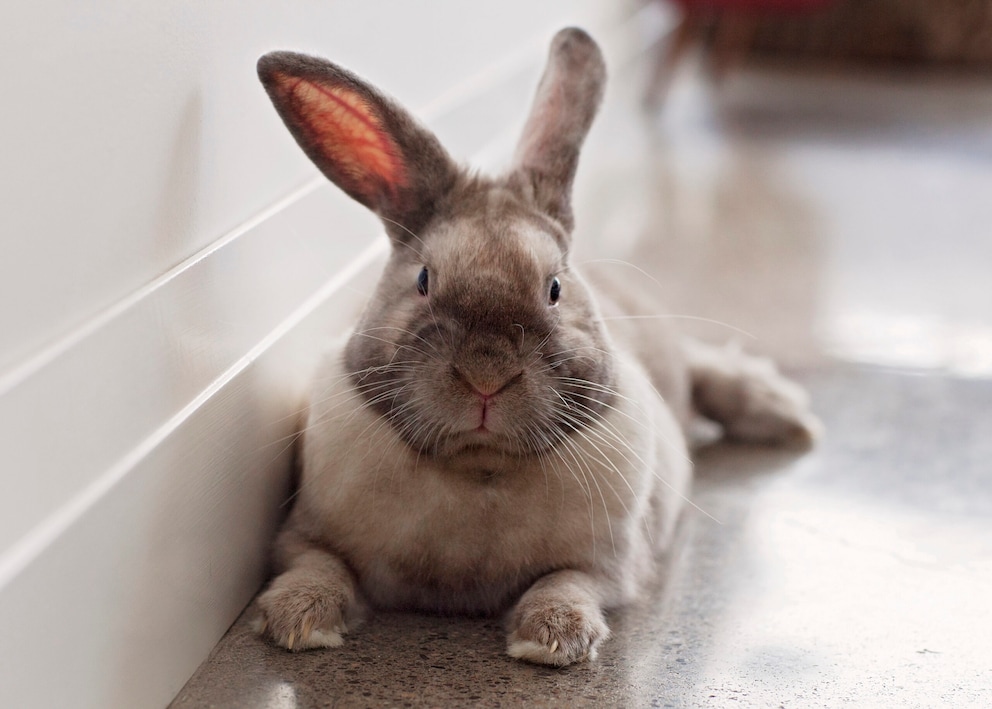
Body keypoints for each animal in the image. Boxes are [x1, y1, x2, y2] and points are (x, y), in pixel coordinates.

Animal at [253, 27, 821, 667]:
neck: (480, 470)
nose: (486, 376)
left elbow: (567, 582)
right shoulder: (300, 535)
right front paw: (297, 621)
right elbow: (317, 565)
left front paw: (553, 638)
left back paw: (783, 413)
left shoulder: (612, 564)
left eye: (554, 289)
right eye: (423, 281)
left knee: (705, 367)